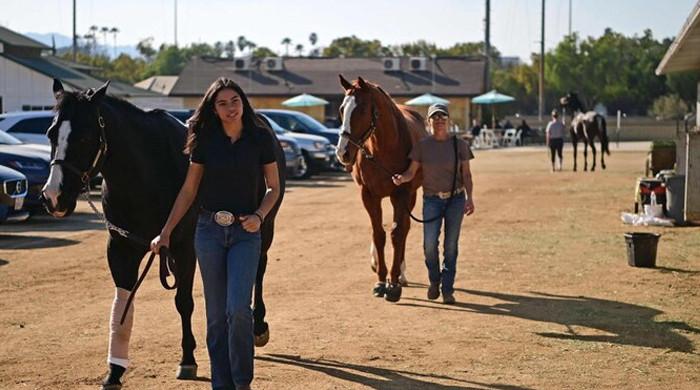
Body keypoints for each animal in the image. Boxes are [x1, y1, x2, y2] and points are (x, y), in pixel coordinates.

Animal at [38, 78, 284, 386]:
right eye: (50, 134)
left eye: (84, 137)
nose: (53, 197)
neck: (146, 175)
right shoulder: (121, 248)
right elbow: (123, 305)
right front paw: (114, 370)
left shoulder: (185, 247)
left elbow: (184, 302)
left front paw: (188, 360)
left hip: (265, 227)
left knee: (258, 270)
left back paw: (258, 326)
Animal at [334, 75, 426, 302]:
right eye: (342, 109)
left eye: (361, 110)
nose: (342, 152)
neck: (385, 149)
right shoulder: (368, 195)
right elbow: (378, 234)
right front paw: (381, 281)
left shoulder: (402, 193)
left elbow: (397, 233)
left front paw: (393, 284)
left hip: (409, 196)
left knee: (404, 229)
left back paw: (401, 273)